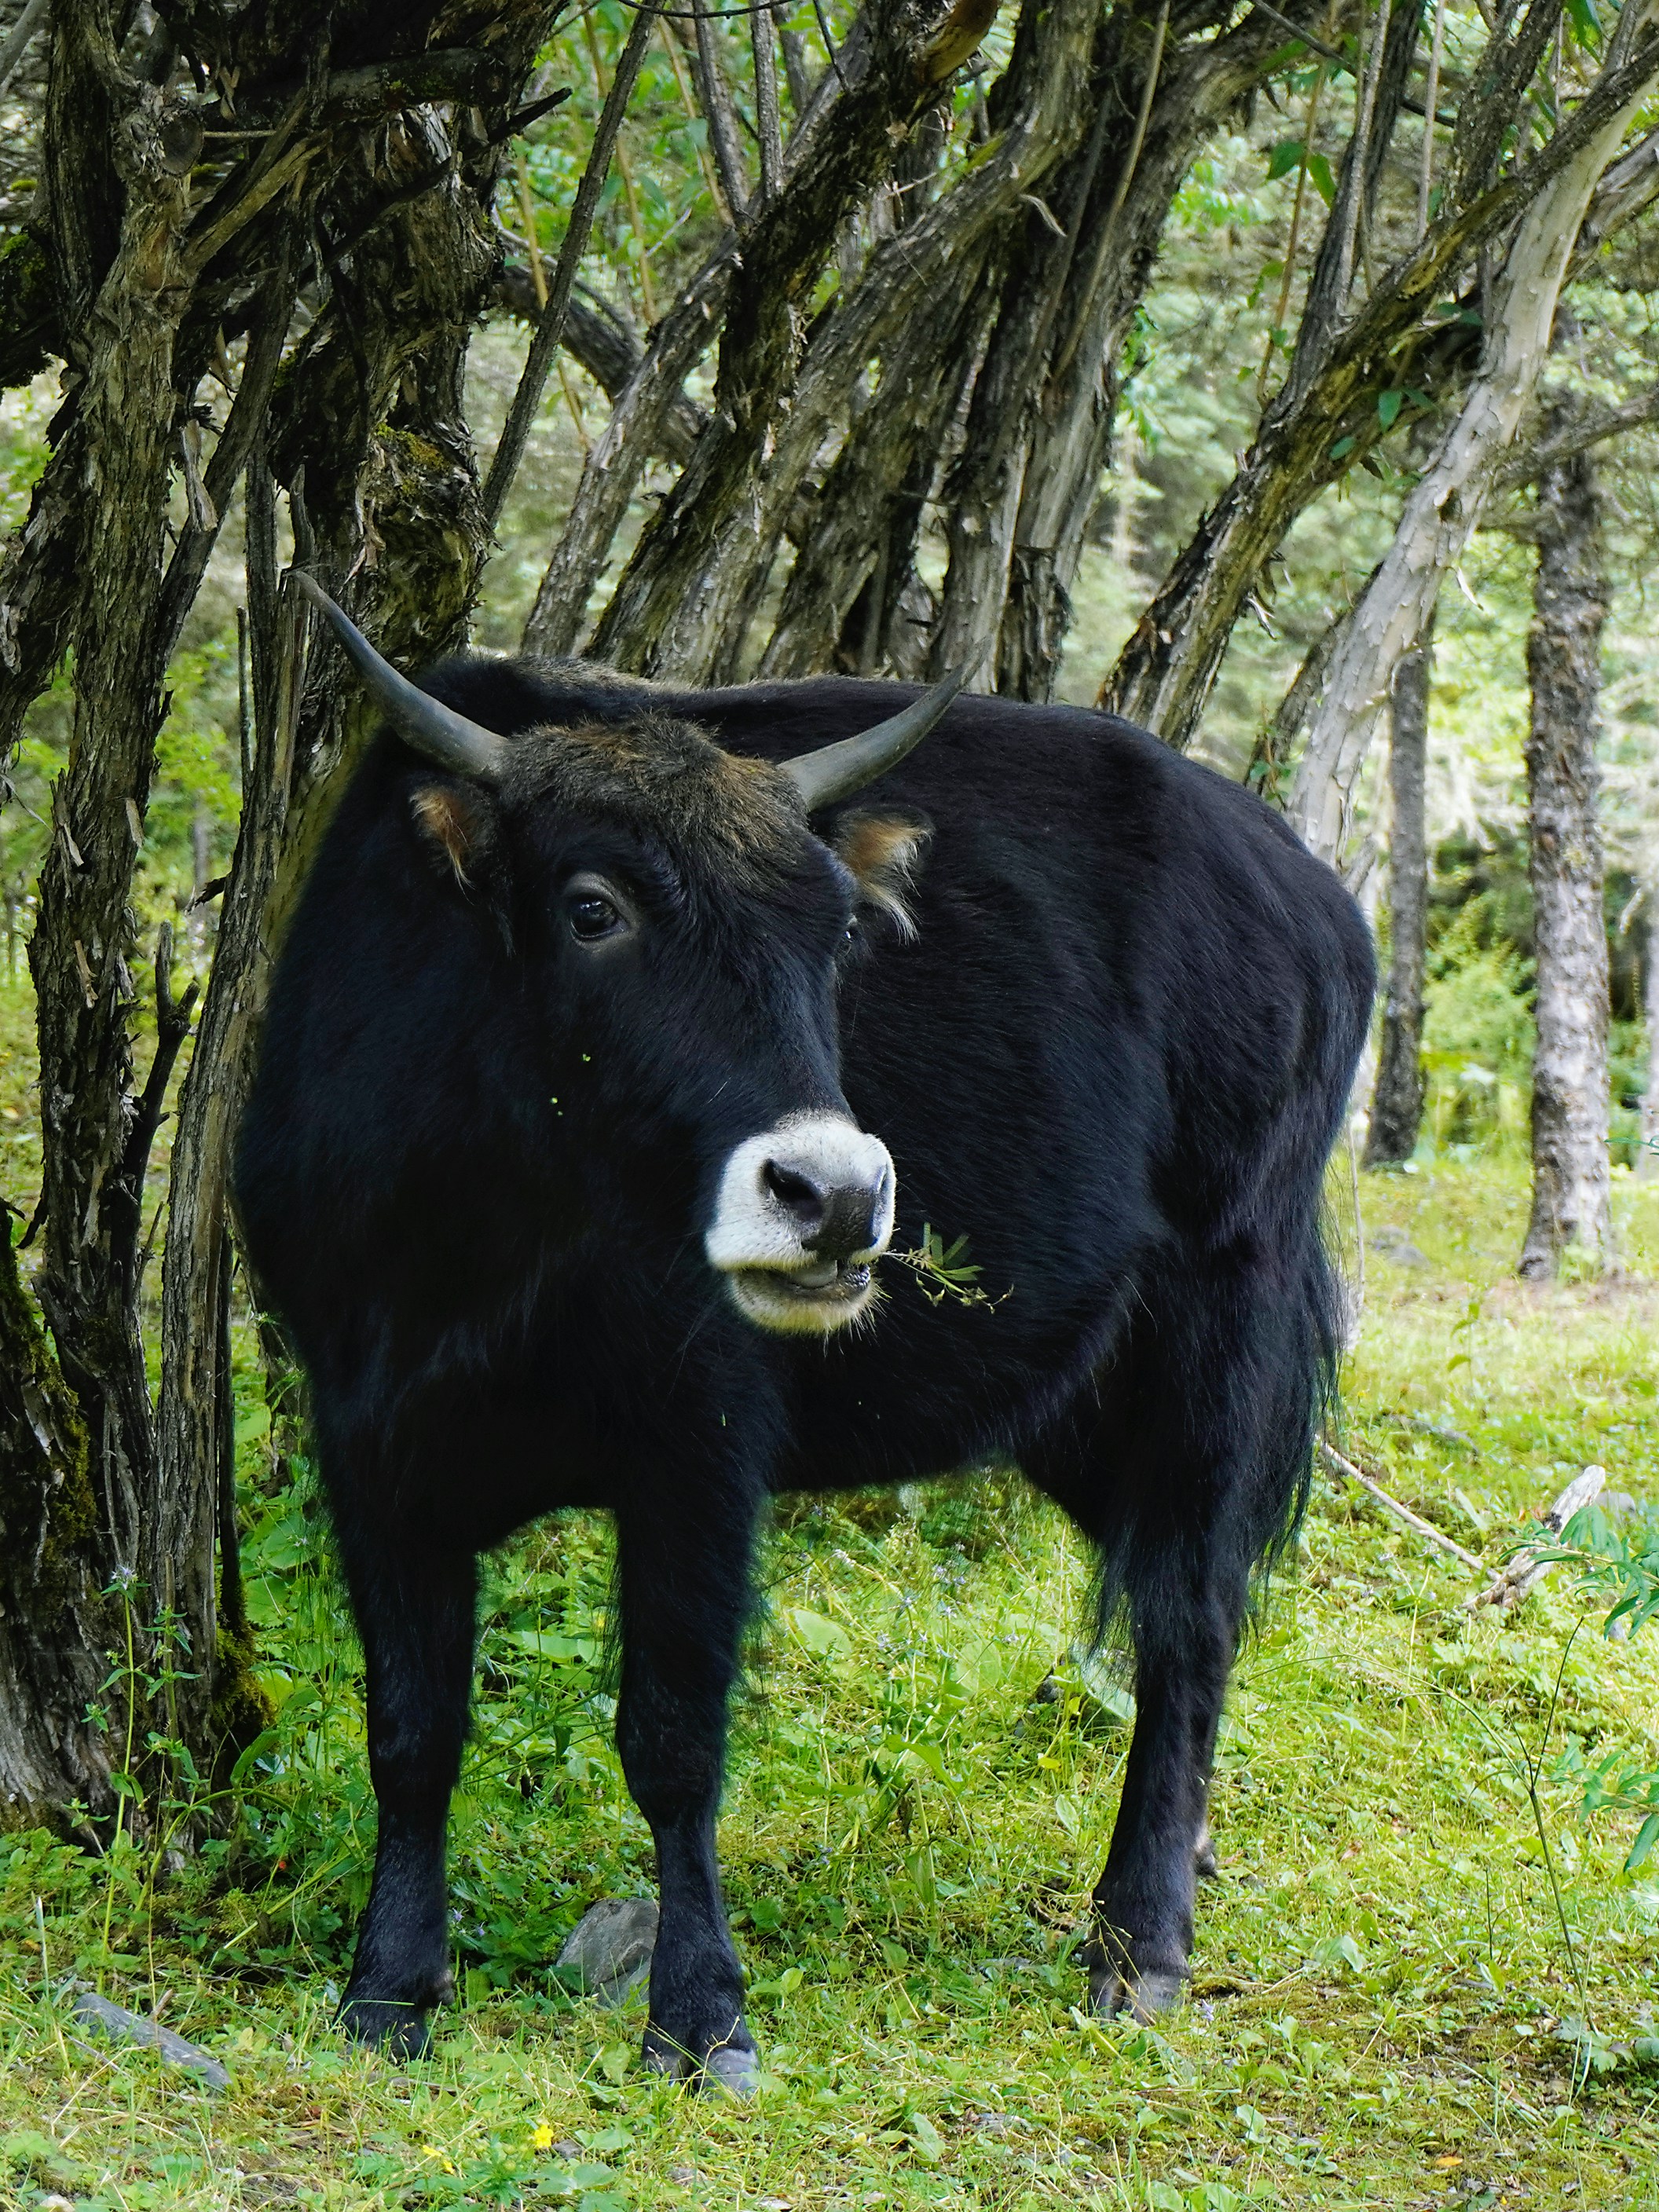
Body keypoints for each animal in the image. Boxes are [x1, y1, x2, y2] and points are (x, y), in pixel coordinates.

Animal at [235, 573, 1374, 2090]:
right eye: (593, 906)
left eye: (835, 928)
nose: (834, 1196)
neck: (484, 1235)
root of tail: (1309, 894)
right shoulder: (367, 1438)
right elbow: (412, 1728)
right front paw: (388, 1989)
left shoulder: (699, 1443)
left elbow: (671, 1733)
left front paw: (701, 2014)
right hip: (1082, 1405)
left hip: (1222, 1328)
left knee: (1190, 1614)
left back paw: (1139, 1947)